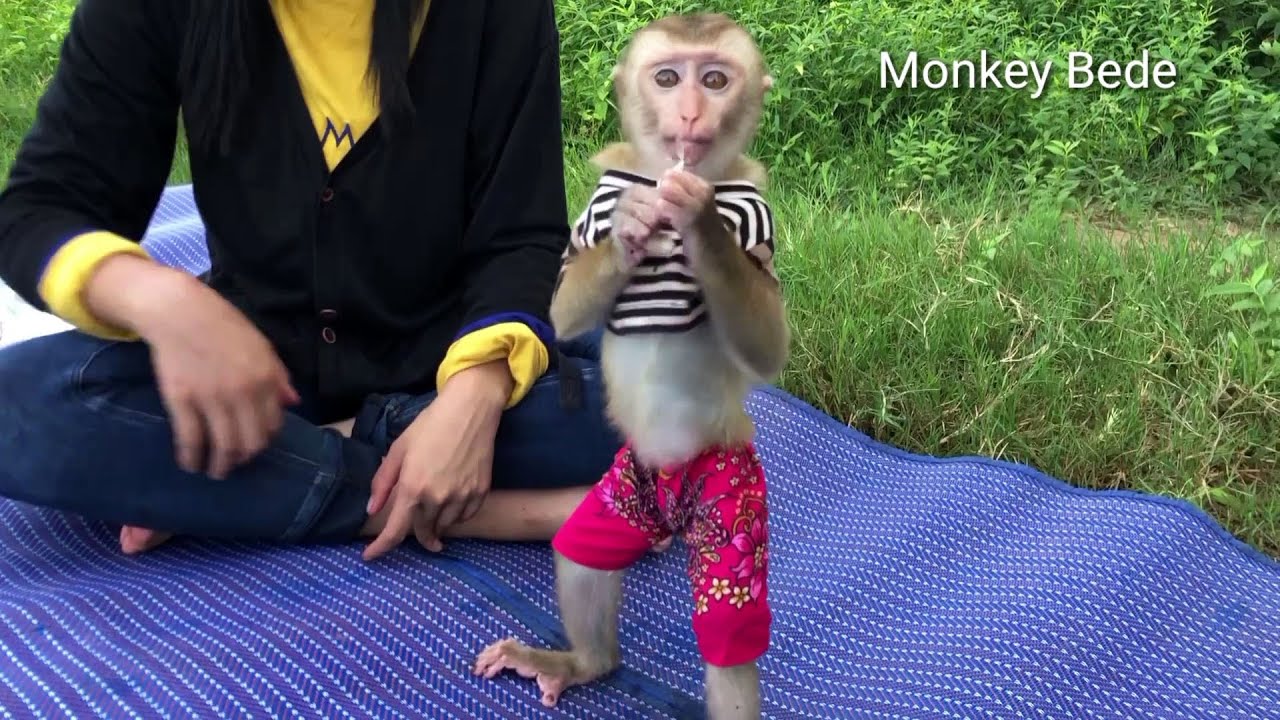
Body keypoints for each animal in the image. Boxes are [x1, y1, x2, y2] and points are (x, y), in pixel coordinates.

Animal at [472, 13, 787, 719]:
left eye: (716, 80)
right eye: (668, 78)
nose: (691, 113)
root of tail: (669, 501)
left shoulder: (758, 219)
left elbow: (767, 348)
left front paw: (699, 218)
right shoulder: (595, 203)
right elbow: (562, 310)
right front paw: (632, 228)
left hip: (726, 504)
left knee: (728, 639)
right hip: (624, 494)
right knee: (582, 554)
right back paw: (584, 662)